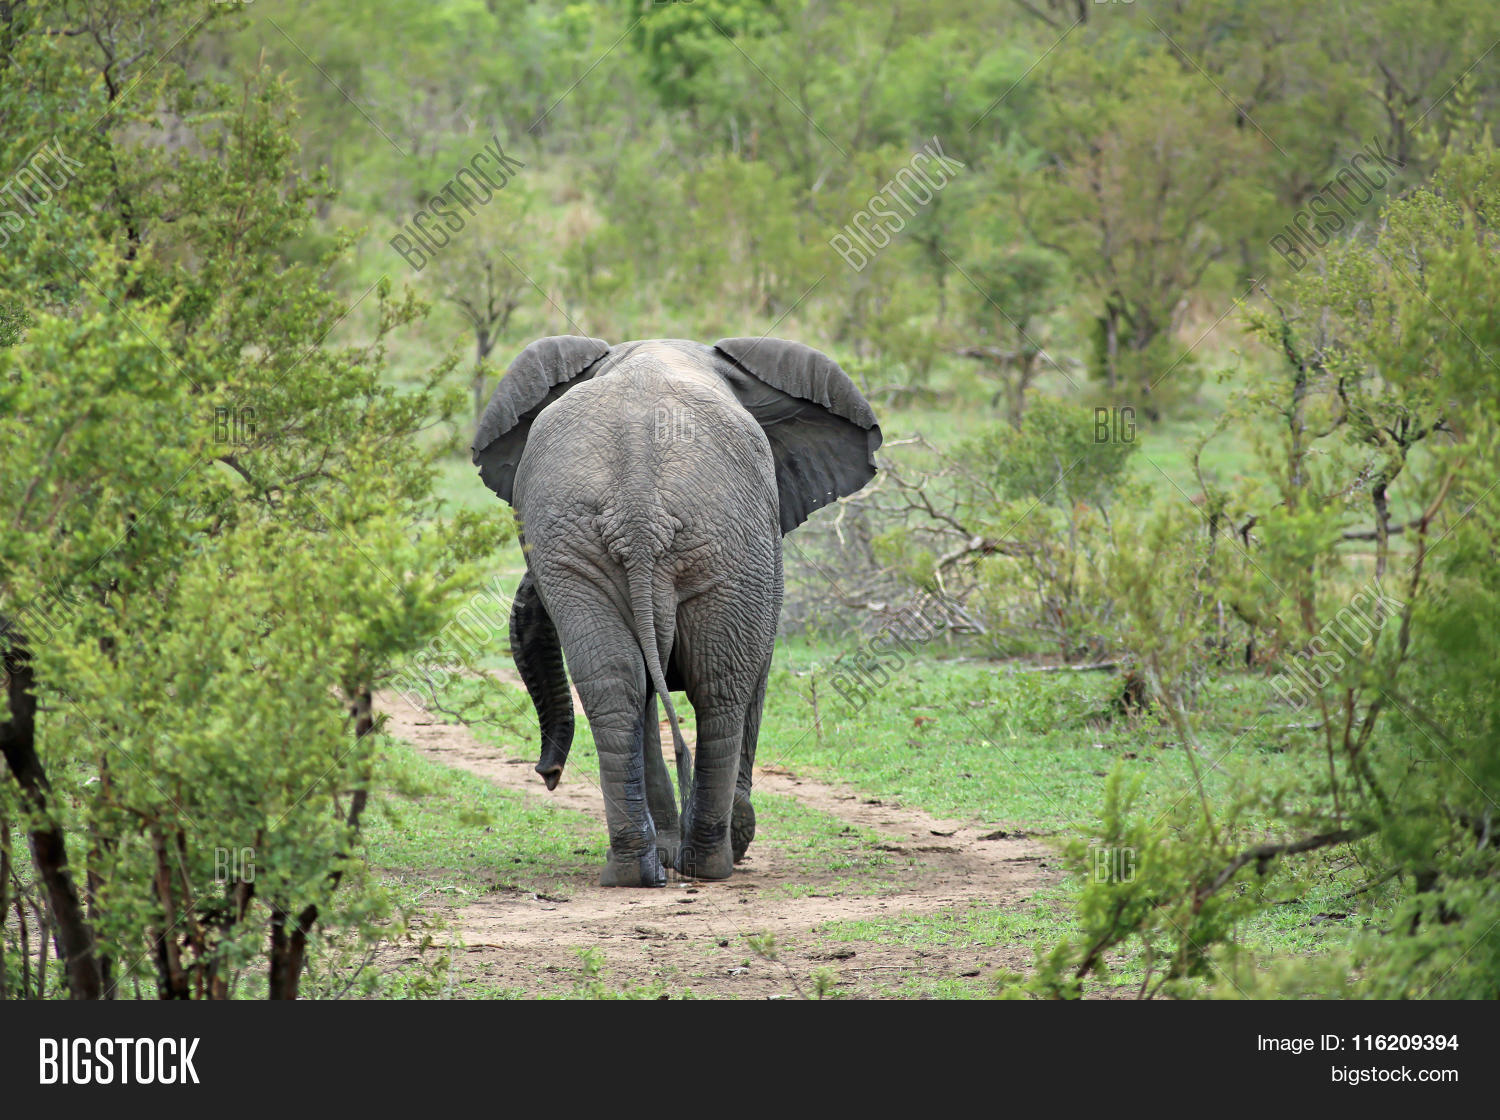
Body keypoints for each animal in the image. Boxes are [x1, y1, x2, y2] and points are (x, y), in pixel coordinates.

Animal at [472, 336, 881, 886]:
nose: (548, 775)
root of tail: (638, 510)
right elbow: (755, 677)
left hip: (576, 543)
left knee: (617, 686)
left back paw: (636, 871)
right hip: (729, 545)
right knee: (720, 687)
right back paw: (713, 861)